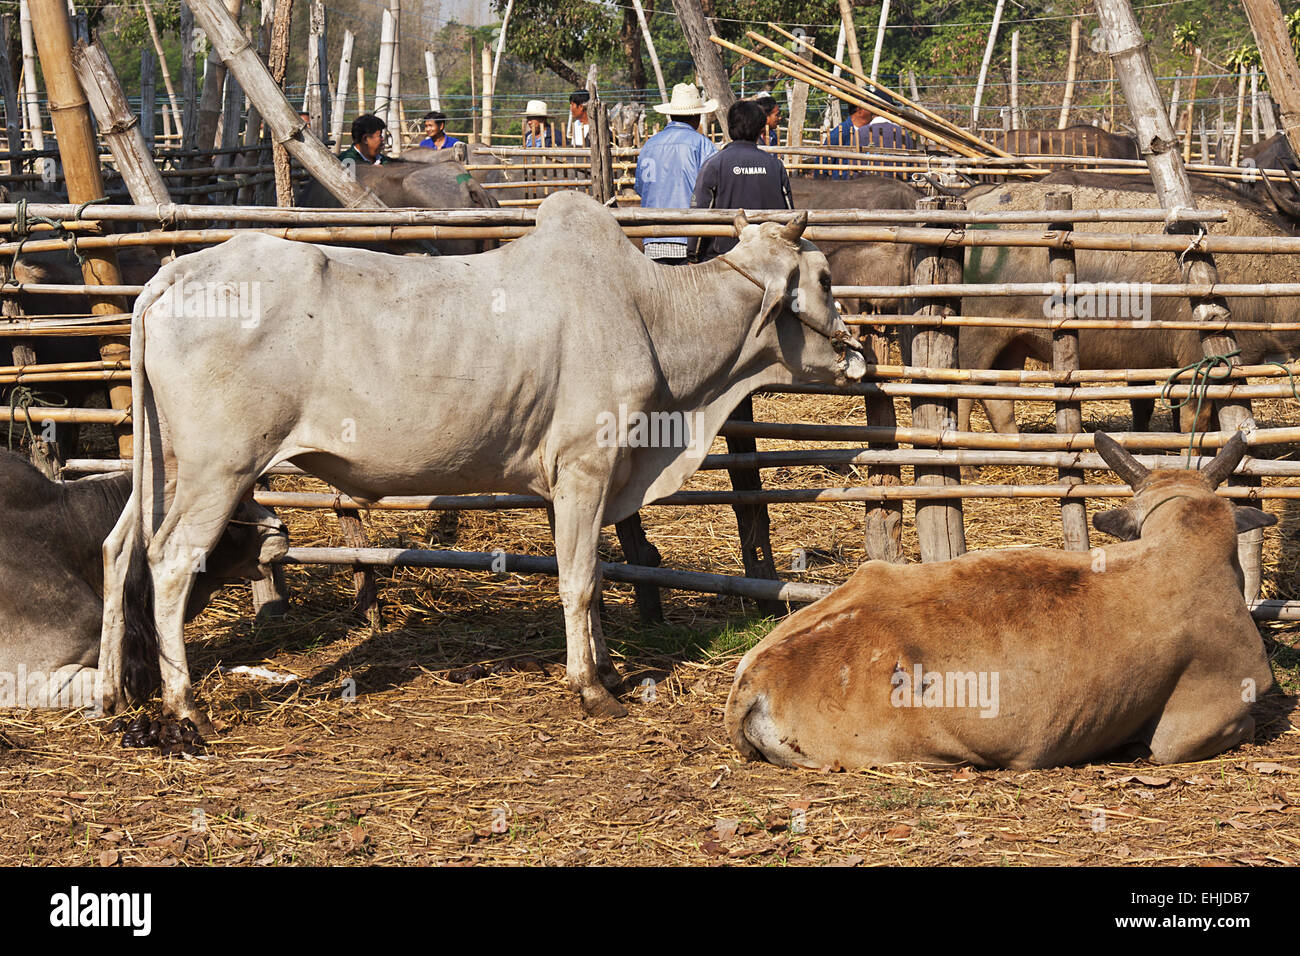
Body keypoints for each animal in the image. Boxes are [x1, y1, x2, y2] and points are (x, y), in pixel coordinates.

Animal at [98, 190, 867, 729]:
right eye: (826, 277)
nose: (861, 352)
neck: (652, 313)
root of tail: (173, 276)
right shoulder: (586, 467)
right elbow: (579, 581)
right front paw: (592, 690)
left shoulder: (576, 482)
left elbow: (590, 577)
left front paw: (605, 668)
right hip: (219, 468)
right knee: (169, 562)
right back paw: (186, 709)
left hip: (166, 463)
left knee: (117, 548)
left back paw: (109, 696)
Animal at [956, 178, 1300, 434]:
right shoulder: (1196, 360)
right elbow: (1194, 420)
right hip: (976, 337)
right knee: (963, 391)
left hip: (1013, 343)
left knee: (999, 398)